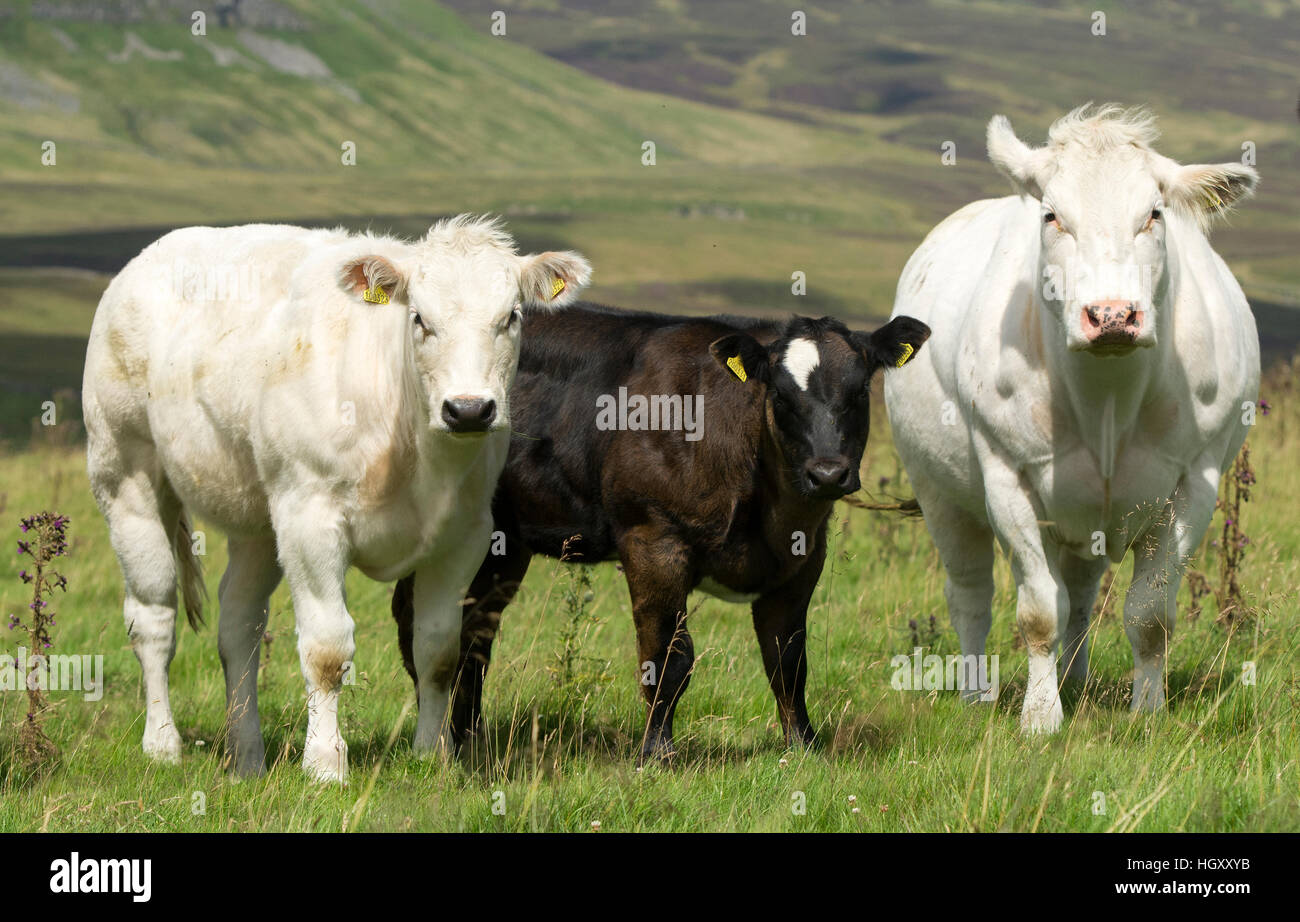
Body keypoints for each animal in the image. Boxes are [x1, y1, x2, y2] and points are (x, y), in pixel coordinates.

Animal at [83, 215, 591, 781]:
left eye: (511, 317)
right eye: (419, 318)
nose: (467, 410)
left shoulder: (466, 535)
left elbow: (438, 649)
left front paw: (432, 756)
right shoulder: (311, 520)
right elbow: (326, 649)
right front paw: (326, 764)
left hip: (261, 516)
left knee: (238, 624)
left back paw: (247, 756)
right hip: (125, 473)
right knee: (153, 617)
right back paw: (163, 744)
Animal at [391, 303, 930, 762]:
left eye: (860, 392)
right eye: (779, 394)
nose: (828, 473)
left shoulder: (803, 559)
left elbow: (788, 659)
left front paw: (804, 746)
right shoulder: (654, 539)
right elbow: (668, 657)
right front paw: (656, 753)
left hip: (501, 542)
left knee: (467, 627)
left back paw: (466, 736)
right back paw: (439, 739)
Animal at [884, 104, 1260, 733]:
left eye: (1153, 213)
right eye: (1052, 215)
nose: (1111, 315)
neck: (1106, 398)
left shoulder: (1195, 483)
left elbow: (1149, 614)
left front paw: (1147, 710)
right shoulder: (1007, 478)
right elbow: (1039, 611)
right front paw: (1040, 717)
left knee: (1082, 595)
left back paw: (1076, 680)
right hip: (938, 490)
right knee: (970, 593)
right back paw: (976, 693)